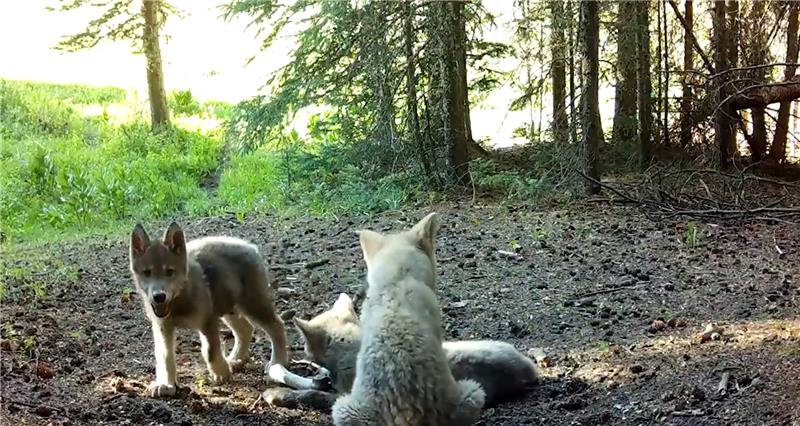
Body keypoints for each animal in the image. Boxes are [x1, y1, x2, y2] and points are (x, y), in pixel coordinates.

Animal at [128, 222, 289, 398]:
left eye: (169, 272)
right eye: (147, 273)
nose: (159, 297)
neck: (179, 302)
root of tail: (250, 247)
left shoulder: (208, 320)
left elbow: (209, 352)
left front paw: (221, 373)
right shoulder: (162, 326)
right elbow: (164, 356)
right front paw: (166, 385)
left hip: (252, 304)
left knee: (277, 326)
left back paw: (277, 363)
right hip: (228, 307)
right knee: (245, 329)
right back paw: (235, 359)